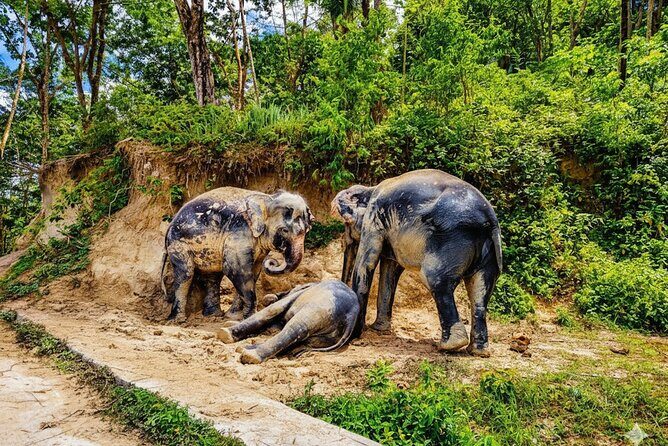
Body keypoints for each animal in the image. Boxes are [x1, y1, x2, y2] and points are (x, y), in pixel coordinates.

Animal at [161, 187, 313, 322]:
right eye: (284, 230)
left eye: (307, 230)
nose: (273, 261)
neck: (267, 198)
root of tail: (169, 226)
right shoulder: (239, 233)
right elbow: (236, 269)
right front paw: (249, 317)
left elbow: (254, 272)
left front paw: (233, 316)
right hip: (178, 244)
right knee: (186, 273)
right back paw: (178, 320)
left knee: (213, 276)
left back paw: (213, 316)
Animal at [217, 280, 359, 364]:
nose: (272, 296)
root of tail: (351, 315)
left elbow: (272, 310)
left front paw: (226, 331)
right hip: (329, 335)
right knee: (301, 342)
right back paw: (244, 348)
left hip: (320, 309)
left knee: (296, 329)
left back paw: (248, 355)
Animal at [331, 169, 502, 357]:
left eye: (346, 225)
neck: (370, 188)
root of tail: (489, 220)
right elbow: (390, 270)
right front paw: (379, 329)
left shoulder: (374, 219)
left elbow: (367, 263)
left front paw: (356, 336)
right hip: (490, 252)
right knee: (480, 292)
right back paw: (478, 351)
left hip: (451, 240)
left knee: (436, 280)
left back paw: (448, 346)